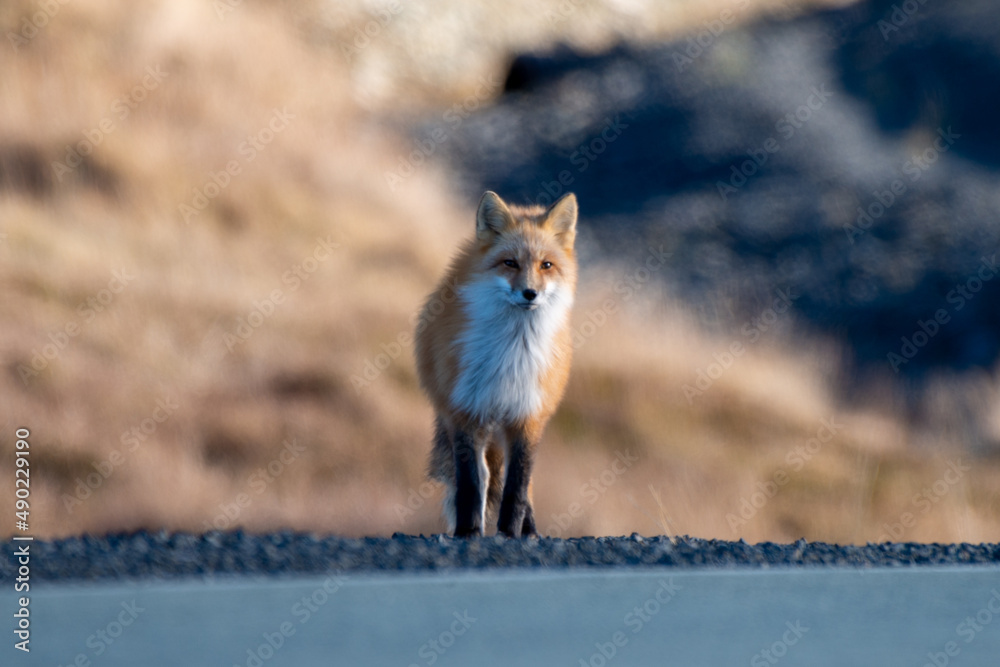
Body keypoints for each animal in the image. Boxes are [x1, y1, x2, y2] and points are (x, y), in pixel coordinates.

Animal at [415, 190, 578, 538]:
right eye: (510, 263)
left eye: (546, 265)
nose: (530, 293)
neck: (512, 353)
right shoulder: (464, 412)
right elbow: (470, 485)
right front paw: (468, 532)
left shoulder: (527, 416)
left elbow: (517, 487)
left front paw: (510, 532)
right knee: (487, 476)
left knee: (523, 486)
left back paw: (529, 530)